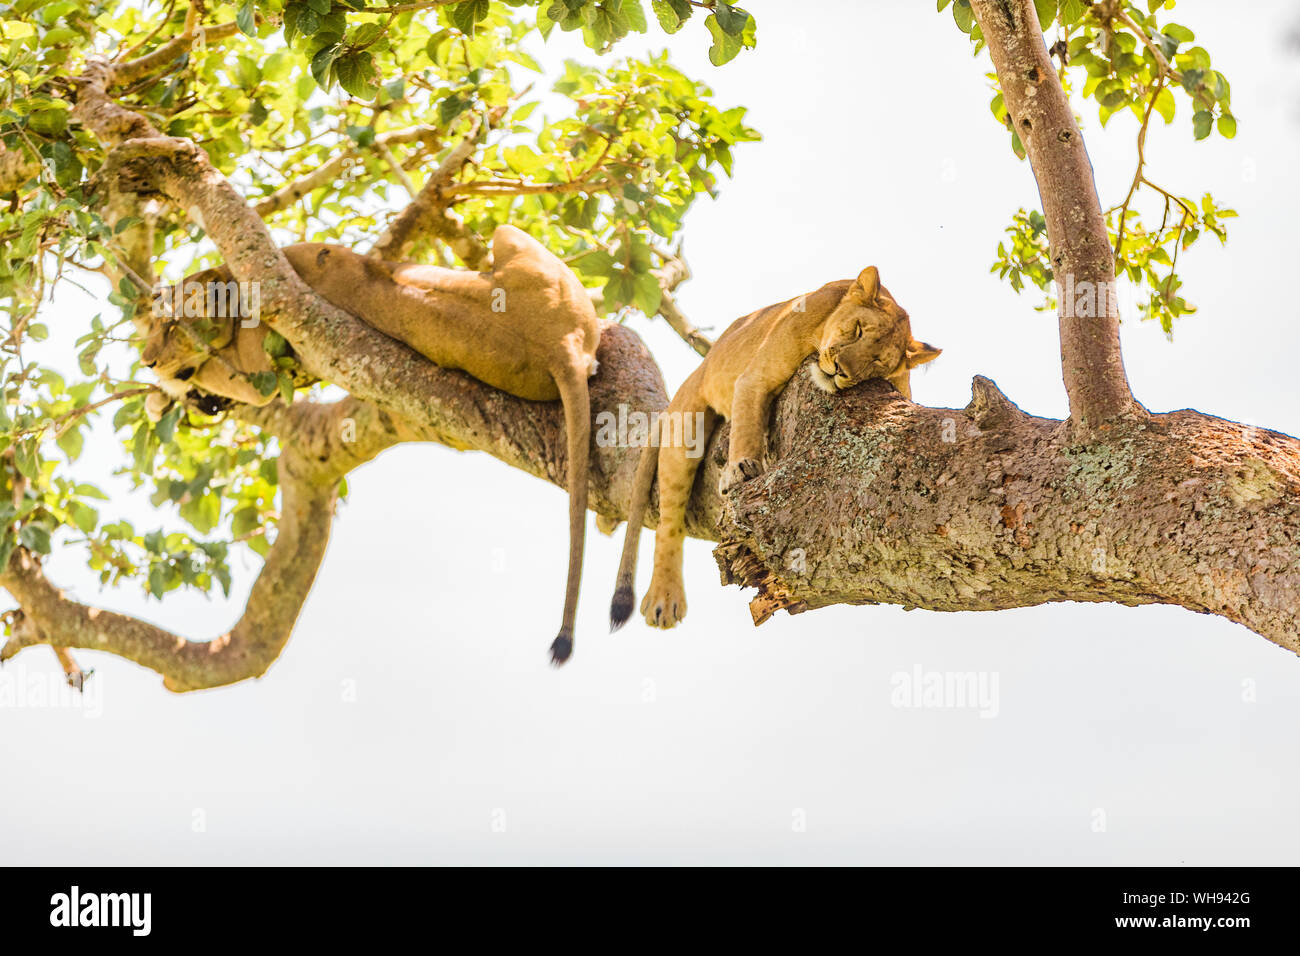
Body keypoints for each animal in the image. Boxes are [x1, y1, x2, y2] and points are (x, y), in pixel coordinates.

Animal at [139, 226, 600, 665]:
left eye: (171, 328)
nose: (147, 359)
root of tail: (565, 348)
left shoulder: (259, 365)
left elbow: (213, 376)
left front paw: (163, 388)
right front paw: (172, 394)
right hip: (519, 245)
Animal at [609, 266, 940, 631]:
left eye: (877, 362)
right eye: (856, 330)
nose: (841, 370)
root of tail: (700, 367)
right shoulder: (755, 377)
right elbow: (747, 426)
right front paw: (738, 471)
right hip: (687, 422)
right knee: (669, 519)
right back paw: (663, 599)